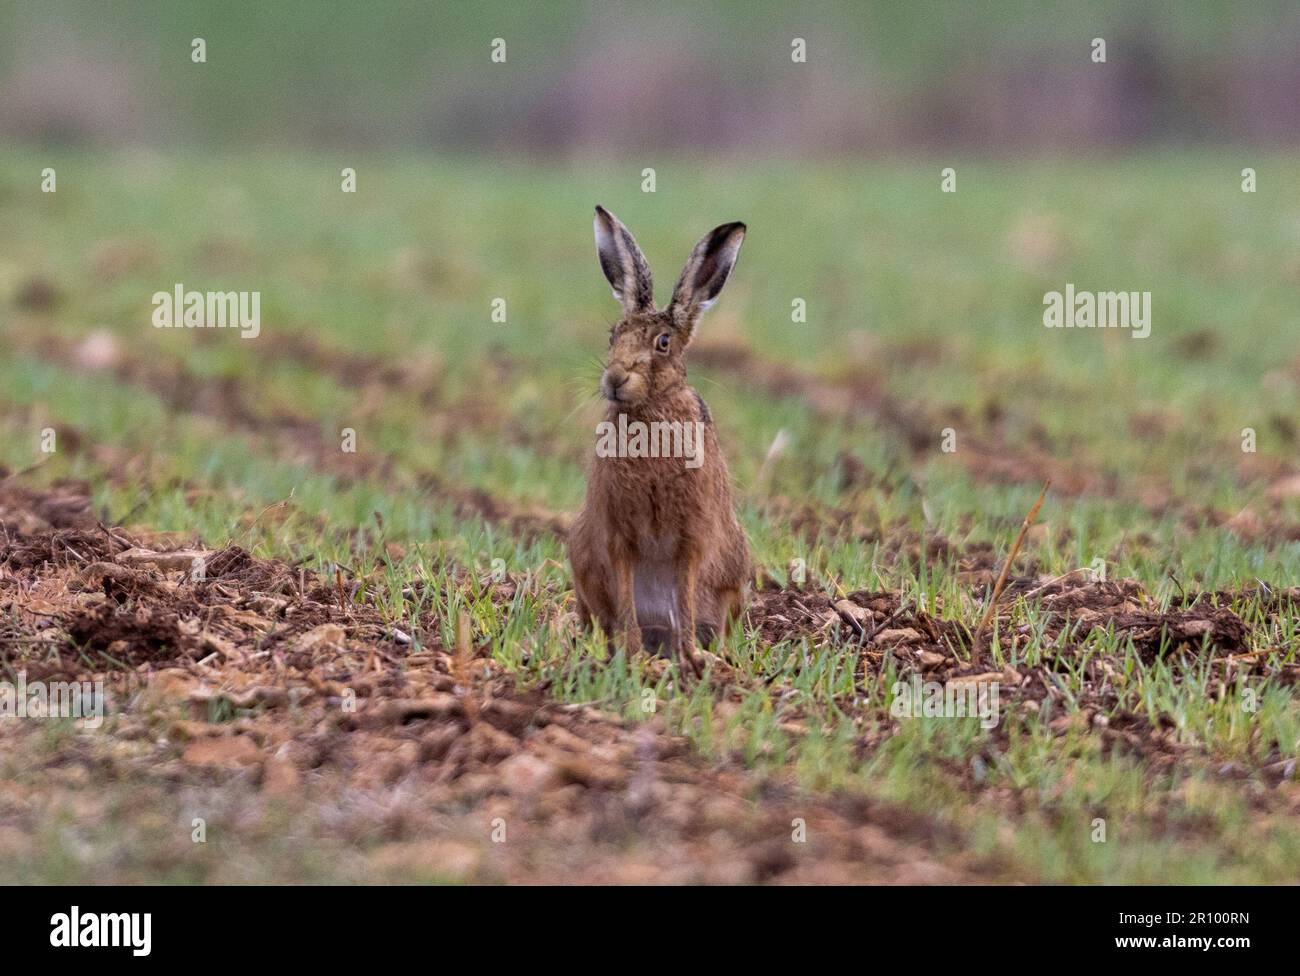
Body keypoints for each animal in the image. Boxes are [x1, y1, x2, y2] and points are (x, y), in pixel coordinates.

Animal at [569, 205, 751, 676]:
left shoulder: (692, 537)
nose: (615, 378)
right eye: (613, 336)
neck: (651, 410)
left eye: (663, 343)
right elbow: (626, 597)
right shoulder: (618, 537)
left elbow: (684, 598)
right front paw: (635, 660)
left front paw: (690, 660)